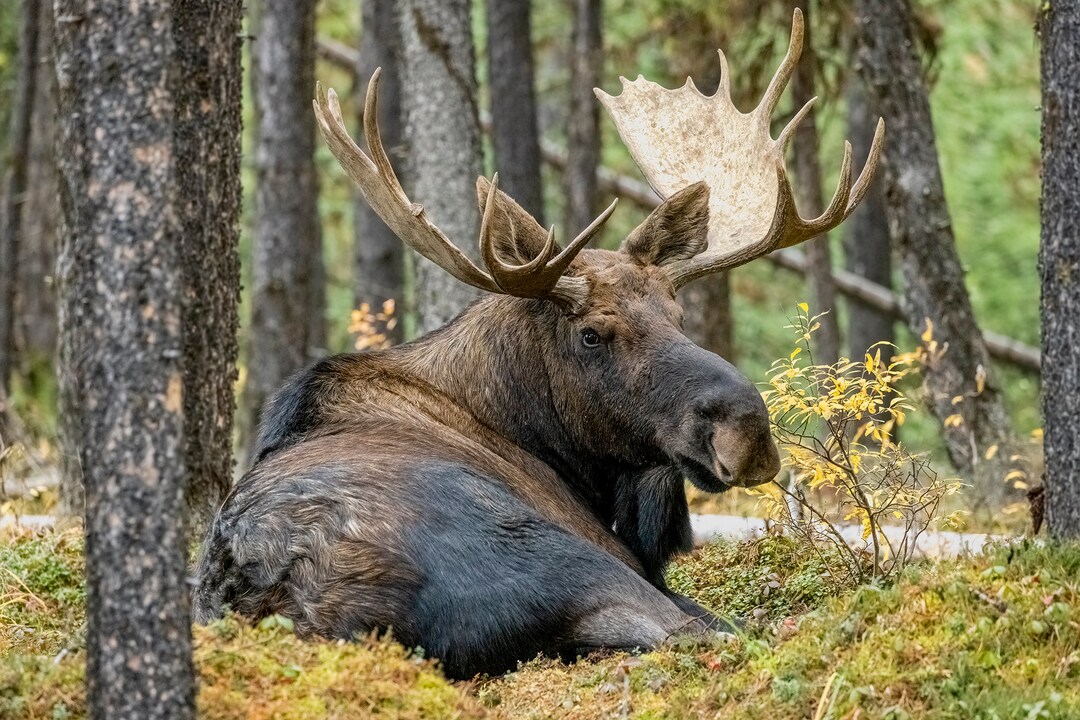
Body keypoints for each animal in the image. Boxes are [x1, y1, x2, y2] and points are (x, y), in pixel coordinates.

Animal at [194, 9, 882, 680]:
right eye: (591, 333)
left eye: (677, 312)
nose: (747, 429)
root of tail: (289, 598)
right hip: (561, 556)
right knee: (693, 631)